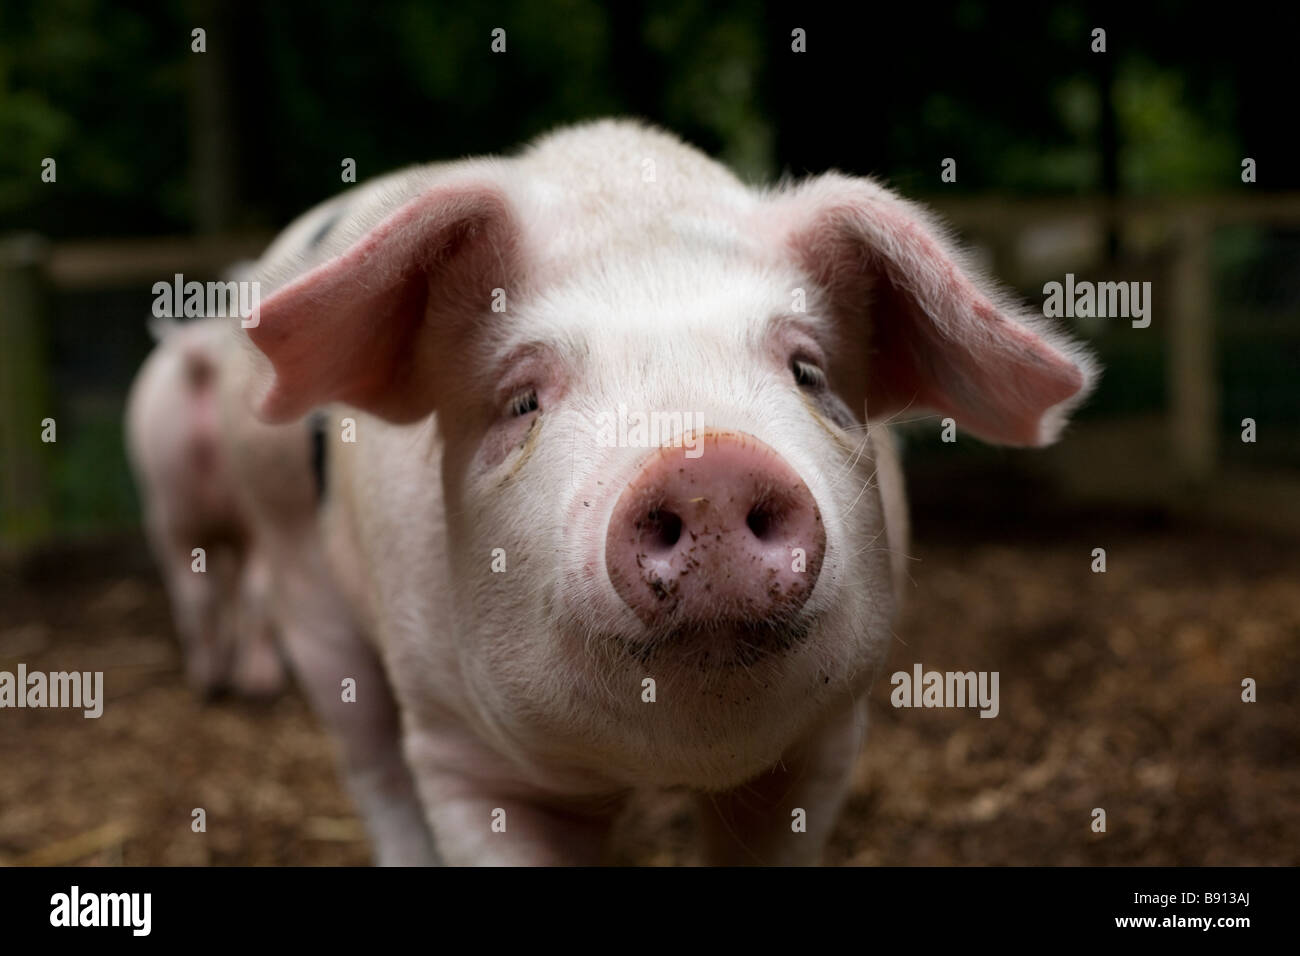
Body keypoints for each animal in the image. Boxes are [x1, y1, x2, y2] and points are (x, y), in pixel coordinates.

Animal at [125, 317, 286, 698]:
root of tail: (203, 360)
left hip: (169, 506)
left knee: (198, 595)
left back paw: (210, 681)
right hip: (245, 515)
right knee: (247, 592)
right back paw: (256, 682)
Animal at [226, 119, 1096, 865]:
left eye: (808, 372)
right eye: (521, 401)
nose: (709, 465)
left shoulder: (824, 743)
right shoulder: (460, 757)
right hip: (304, 588)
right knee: (372, 762)